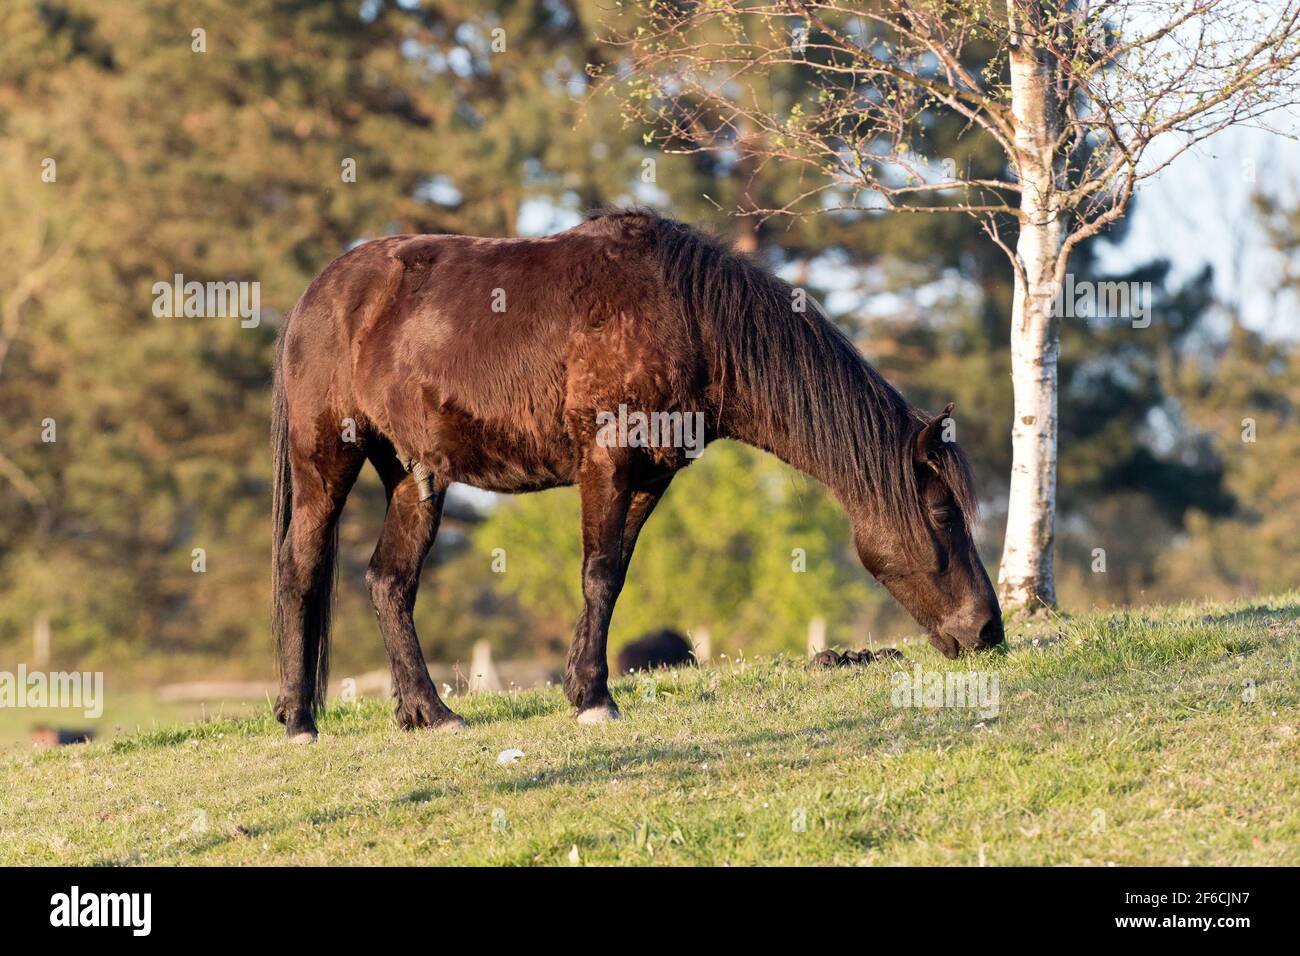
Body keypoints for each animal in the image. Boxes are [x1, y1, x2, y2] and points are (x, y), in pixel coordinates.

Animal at [270, 209, 1002, 741]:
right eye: (942, 514)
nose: (987, 632)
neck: (689, 318)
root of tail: (314, 295)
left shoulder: (651, 477)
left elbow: (615, 576)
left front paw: (583, 688)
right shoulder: (607, 460)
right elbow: (597, 574)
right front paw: (594, 698)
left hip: (413, 472)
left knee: (389, 582)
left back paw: (429, 713)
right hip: (325, 459)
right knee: (301, 567)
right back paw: (300, 719)